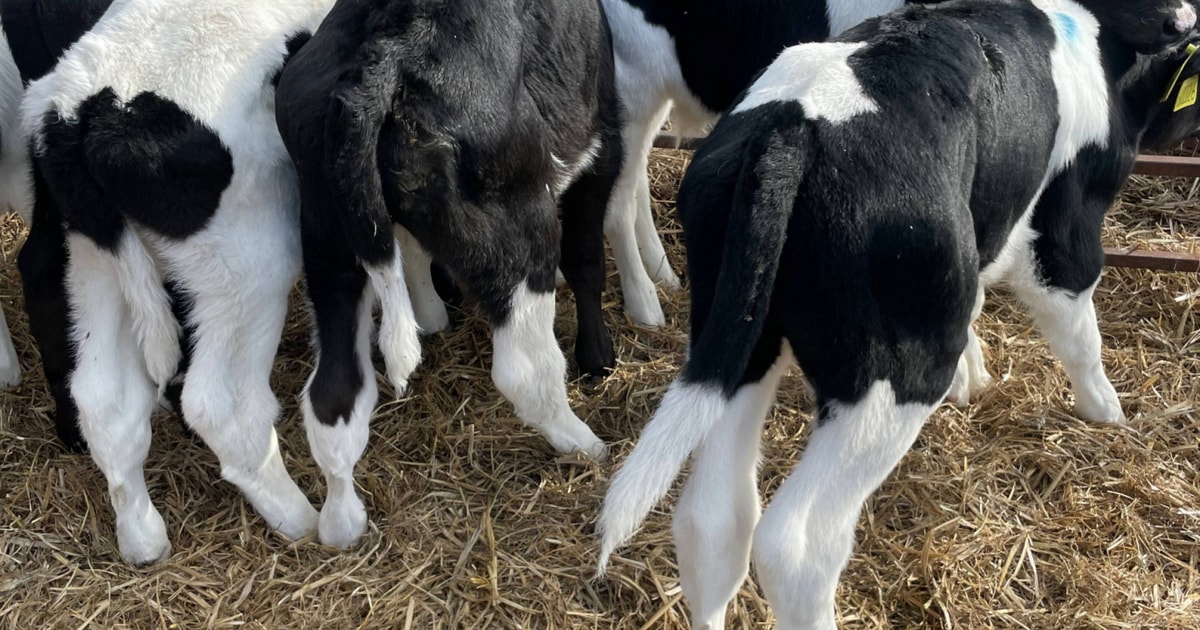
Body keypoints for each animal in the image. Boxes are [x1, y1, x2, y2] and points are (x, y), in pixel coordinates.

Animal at [20, 0, 336, 565]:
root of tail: (82, 114)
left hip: (92, 258)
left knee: (103, 398)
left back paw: (142, 538)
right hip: (251, 260)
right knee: (219, 404)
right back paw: (301, 519)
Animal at [274, 0, 619, 549]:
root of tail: (388, 49)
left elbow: (414, 255)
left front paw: (433, 316)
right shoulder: (603, 142)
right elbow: (586, 258)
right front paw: (599, 358)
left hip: (328, 241)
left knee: (333, 394)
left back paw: (341, 523)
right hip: (519, 229)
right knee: (524, 368)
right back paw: (585, 443)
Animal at [597, 0, 1200, 628]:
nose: (1177, 22)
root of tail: (790, 131)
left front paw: (975, 378)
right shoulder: (1066, 225)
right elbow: (1078, 330)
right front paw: (1109, 414)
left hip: (737, 337)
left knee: (713, 521)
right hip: (897, 366)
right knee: (797, 543)